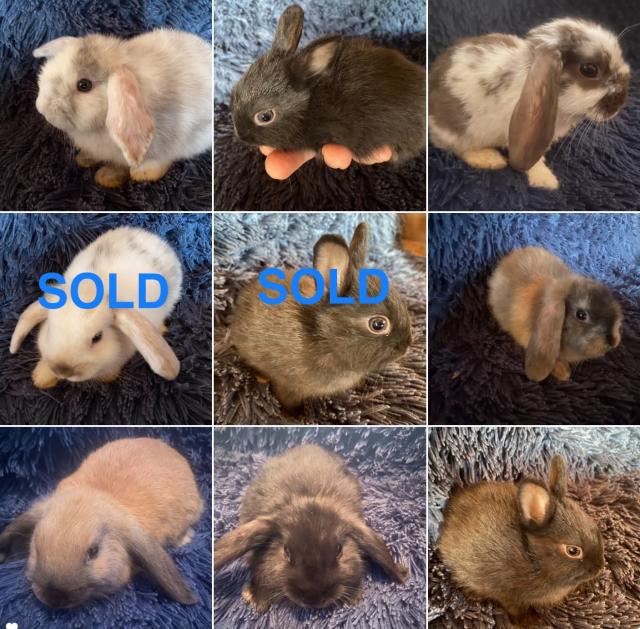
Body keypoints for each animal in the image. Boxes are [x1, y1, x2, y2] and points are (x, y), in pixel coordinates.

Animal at [10, 226, 183, 389]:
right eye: (50, 330)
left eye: (97, 337)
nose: (64, 371)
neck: (90, 290)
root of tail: (150, 237)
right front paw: (41, 378)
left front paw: (108, 377)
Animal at [429, 18, 630, 189]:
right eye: (589, 69)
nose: (620, 102)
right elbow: (534, 161)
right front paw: (546, 181)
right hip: (458, 132)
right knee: (455, 147)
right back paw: (489, 159)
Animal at [438, 455, 605, 627]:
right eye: (573, 551)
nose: (599, 567)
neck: (532, 556)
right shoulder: (507, 594)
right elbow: (516, 609)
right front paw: (534, 622)